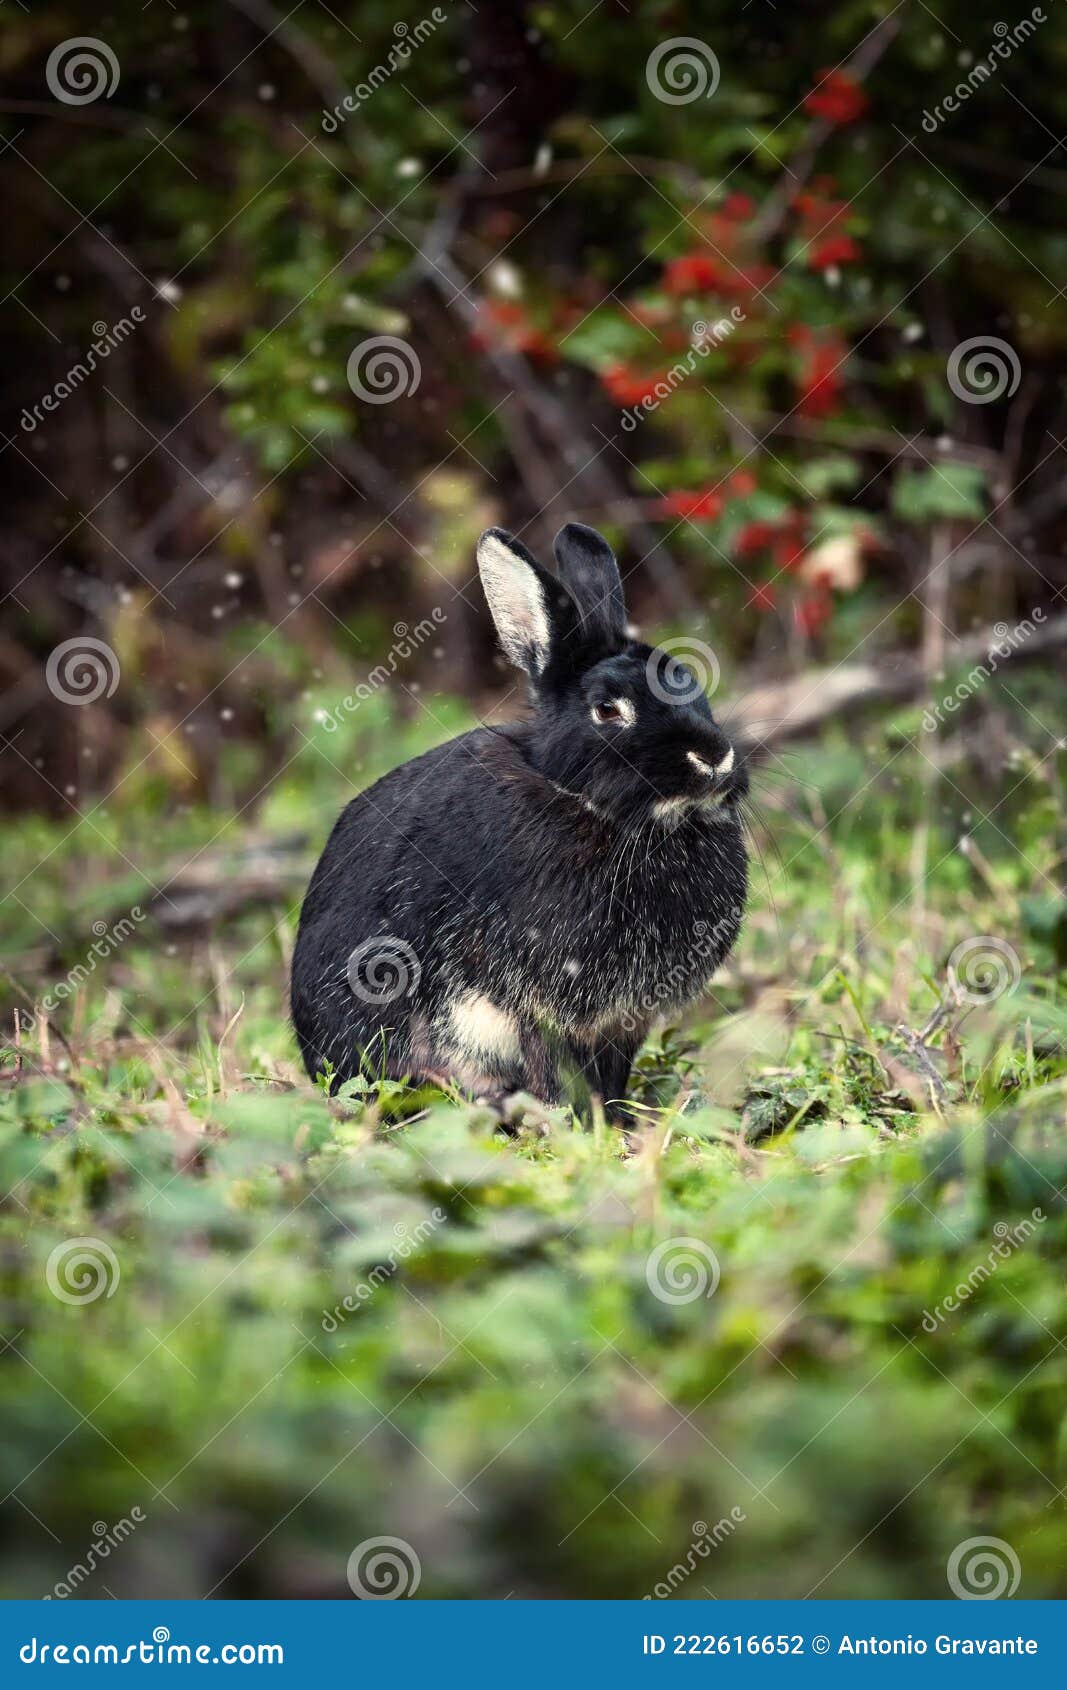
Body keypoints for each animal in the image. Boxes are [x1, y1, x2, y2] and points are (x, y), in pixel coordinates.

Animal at [291, 522, 748, 1120]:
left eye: (690, 679)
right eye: (608, 710)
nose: (713, 757)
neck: (588, 804)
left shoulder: (621, 1022)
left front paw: (615, 1120)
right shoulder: (534, 1003)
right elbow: (550, 1067)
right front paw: (576, 1122)